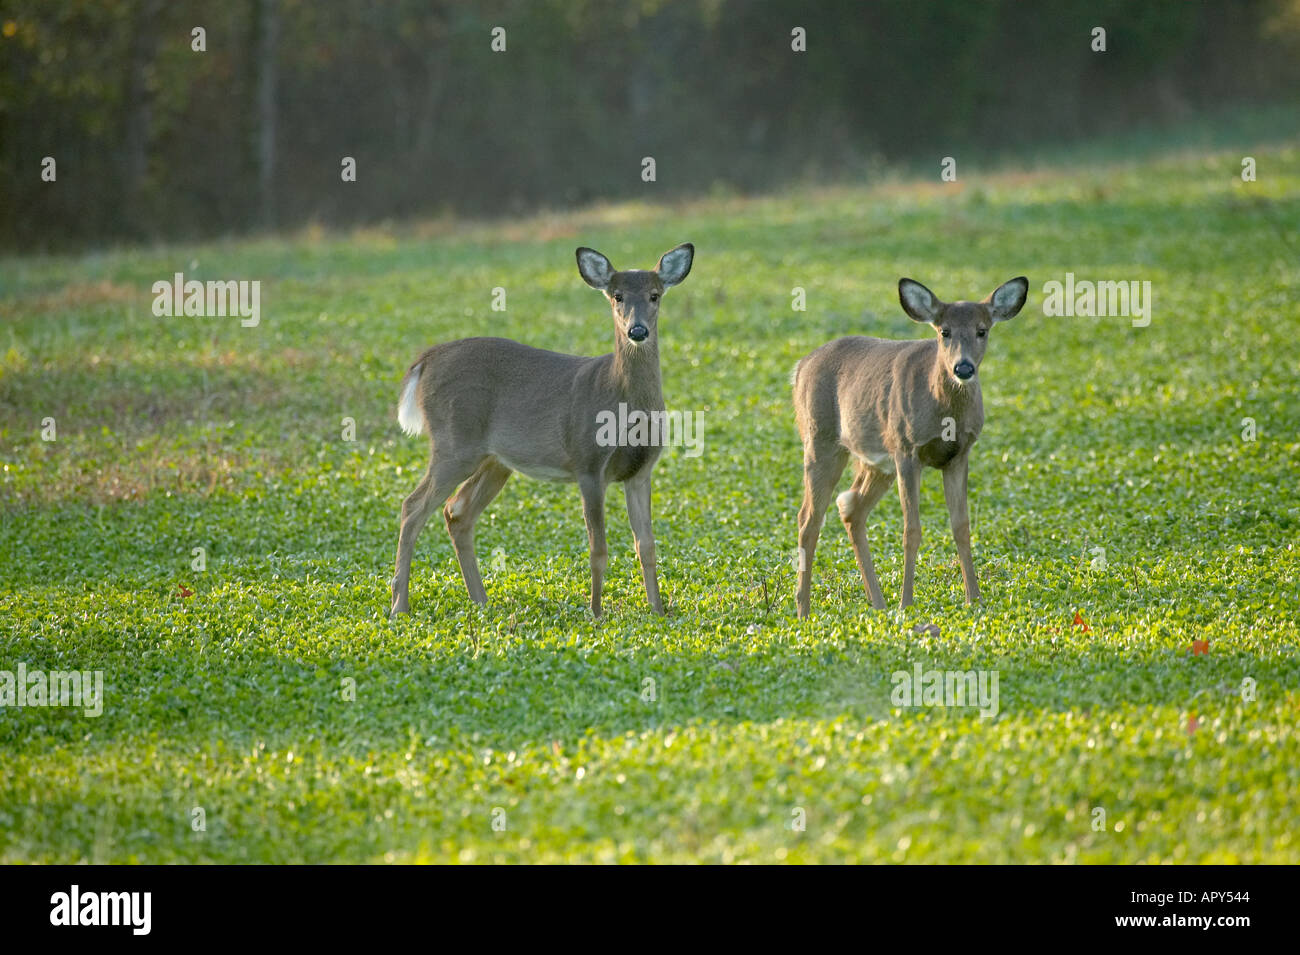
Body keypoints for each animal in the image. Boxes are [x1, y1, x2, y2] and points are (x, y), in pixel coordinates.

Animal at [389, 243, 695, 619]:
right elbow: (598, 548)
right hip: (453, 444)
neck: (622, 400)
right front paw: (596, 612)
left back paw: (481, 600)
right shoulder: (588, 463)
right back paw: (399, 606)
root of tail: (424, 360)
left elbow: (647, 545)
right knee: (412, 506)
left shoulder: (641, 471)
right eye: (617, 296)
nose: (637, 331)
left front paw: (658, 611)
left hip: (495, 460)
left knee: (456, 511)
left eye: (655, 295)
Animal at [791, 276, 1028, 618]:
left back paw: (877, 603)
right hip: (820, 441)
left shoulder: (959, 455)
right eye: (944, 331)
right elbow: (911, 530)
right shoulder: (906, 450)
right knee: (808, 518)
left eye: (982, 330)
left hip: (875, 462)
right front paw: (907, 603)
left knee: (850, 507)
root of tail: (800, 366)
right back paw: (804, 610)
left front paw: (975, 600)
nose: (963, 368)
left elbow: (962, 526)